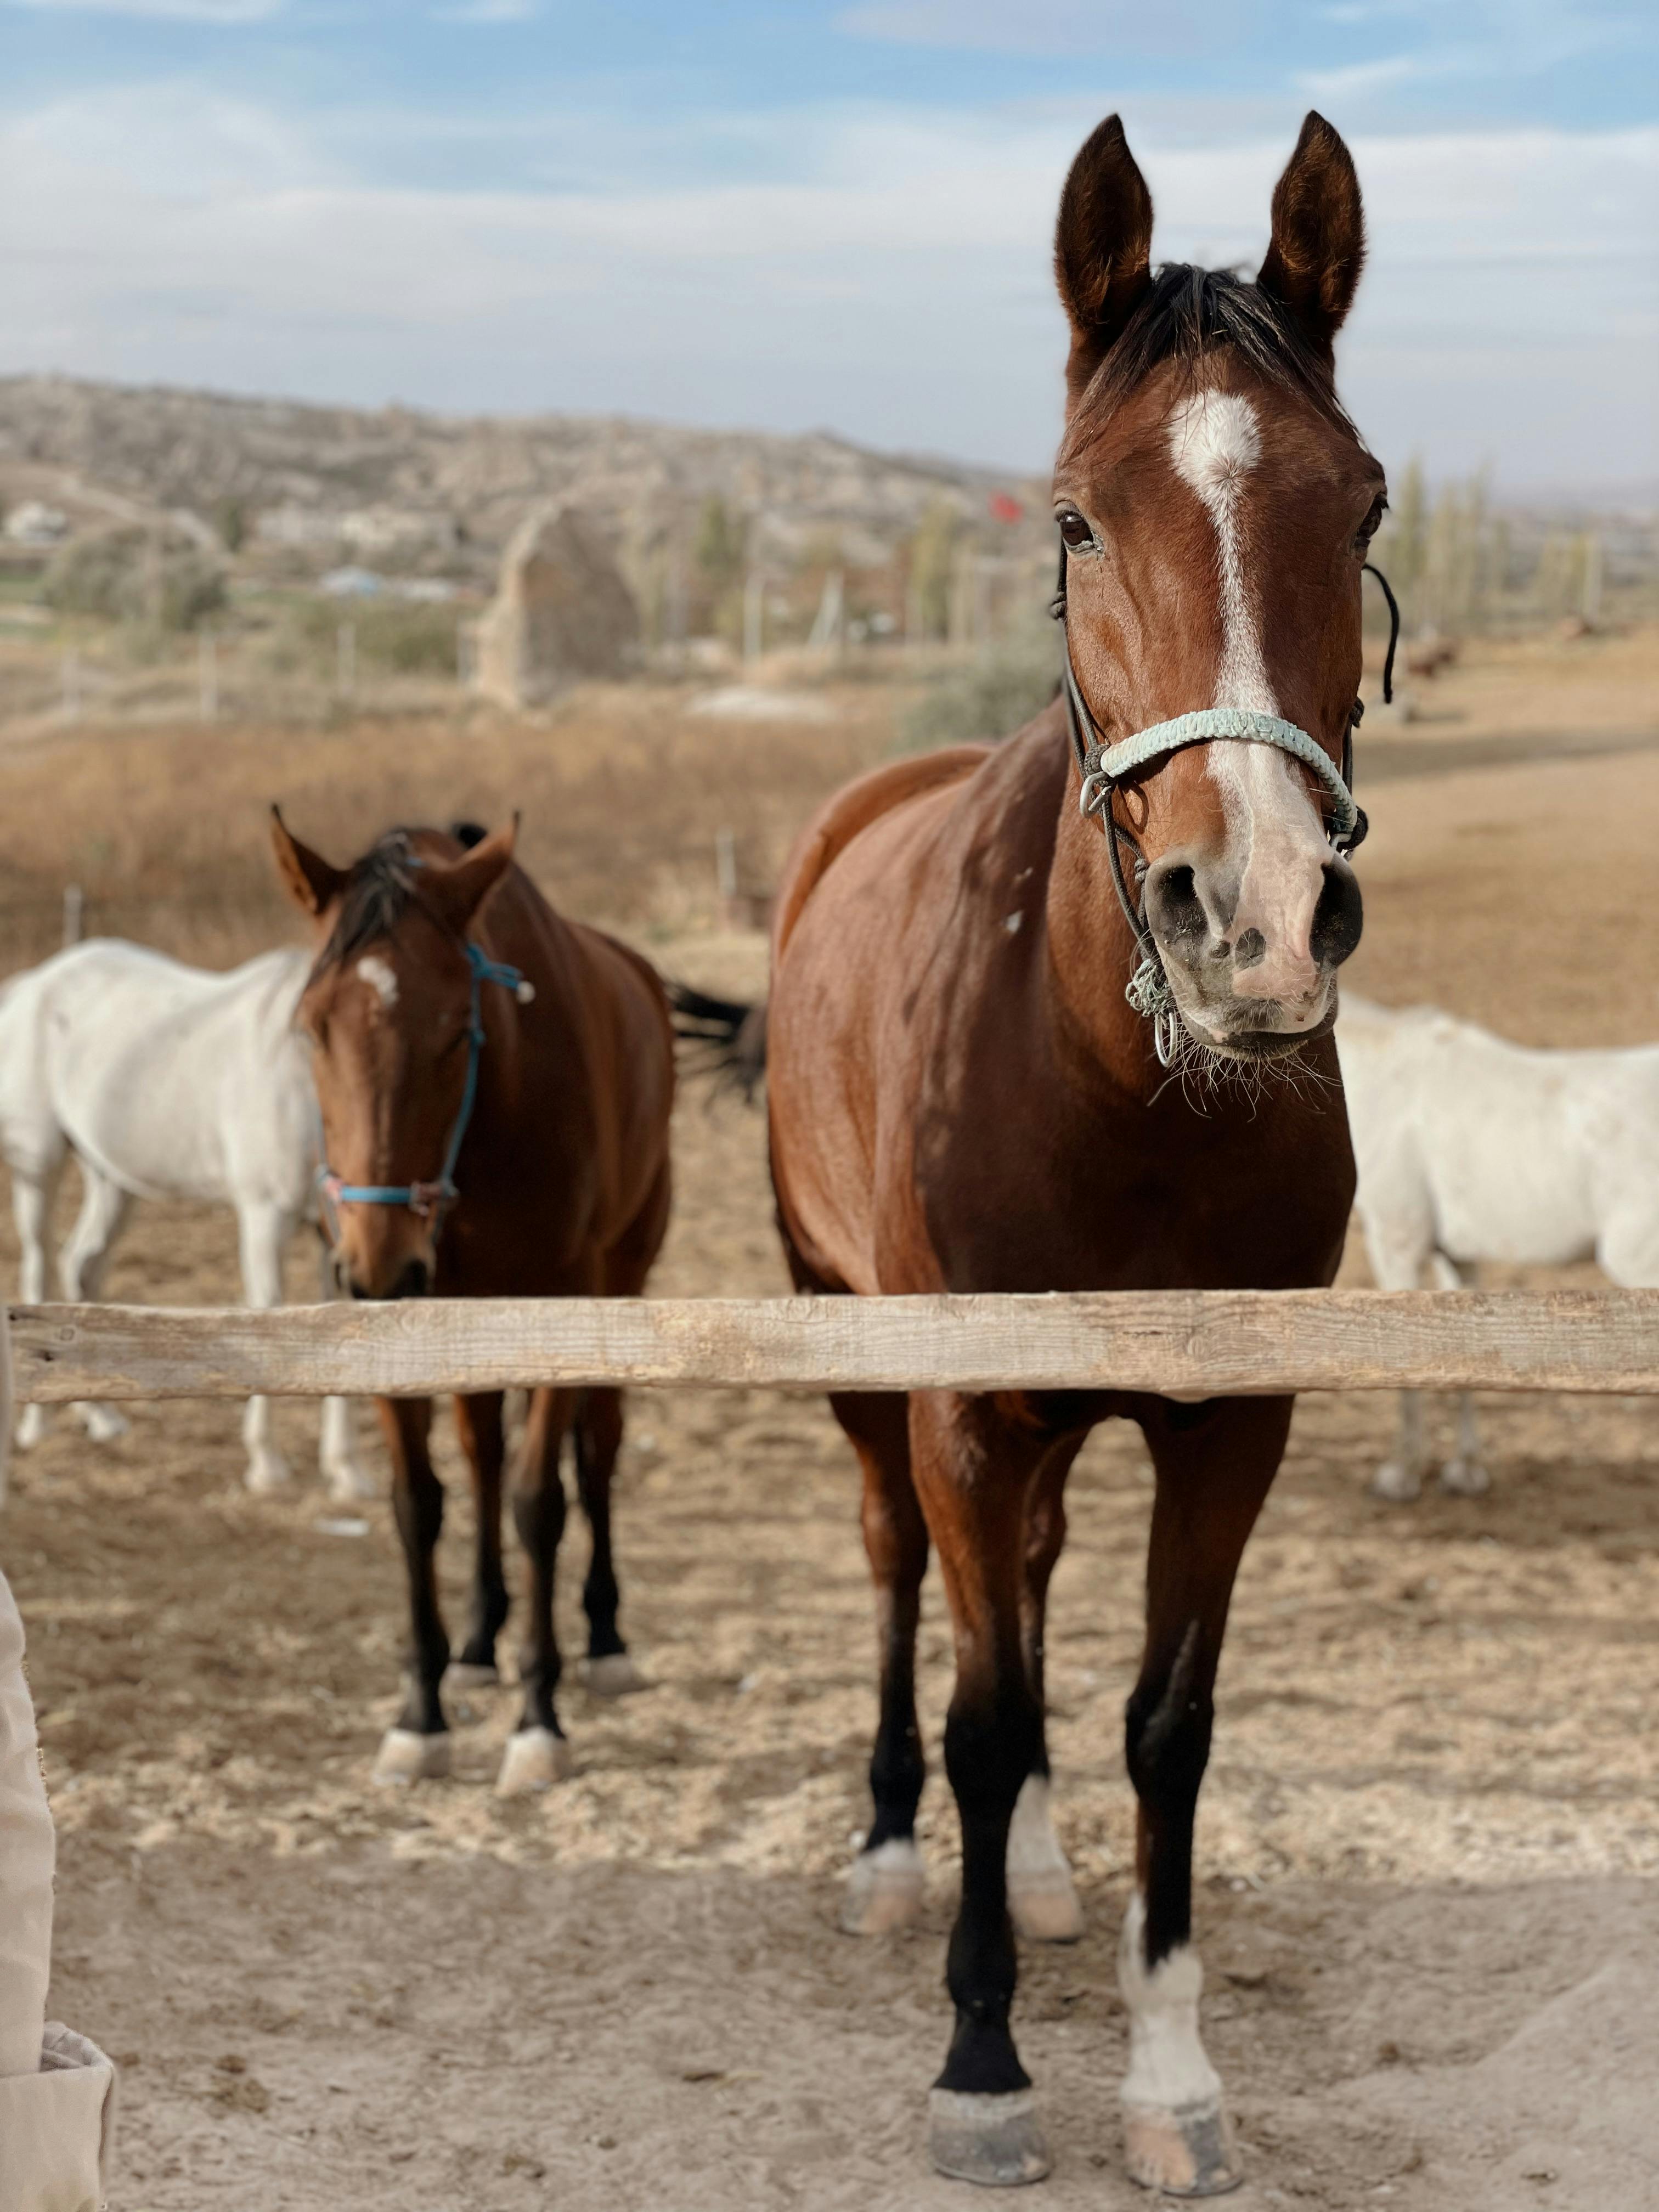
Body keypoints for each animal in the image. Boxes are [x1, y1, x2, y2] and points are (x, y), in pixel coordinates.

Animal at [0, 939, 369, 1501]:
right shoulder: (265, 1215)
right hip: (39, 1166)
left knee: (83, 1266)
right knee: (39, 1263)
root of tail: (32, 985)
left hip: (111, 1179)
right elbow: (268, 1312)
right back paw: (37, 1425)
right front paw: (266, 1464)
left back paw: (100, 1418)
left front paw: (345, 1471)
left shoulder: (333, 1236)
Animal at [269, 813, 675, 1792]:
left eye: (459, 1032)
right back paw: (480, 1640)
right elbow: (420, 1502)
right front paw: (421, 1714)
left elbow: (539, 1500)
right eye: (312, 1028)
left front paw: (538, 1721)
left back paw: (603, 1638)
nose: (377, 1269)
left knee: (596, 1453)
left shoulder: (567, 1304)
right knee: (482, 1452)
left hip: (622, 1277)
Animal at [698, 112, 1383, 2194]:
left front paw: (1169, 2077)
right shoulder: (964, 1409)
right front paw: (984, 2065)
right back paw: (898, 1860)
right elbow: (986, 1710)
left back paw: (1044, 1875)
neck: (1112, 1085)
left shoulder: (1230, 1426)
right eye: (1075, 519)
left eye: (1363, 509)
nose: (1252, 922)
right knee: (900, 1579)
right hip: (863, 1366)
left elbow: (1169, 1724)